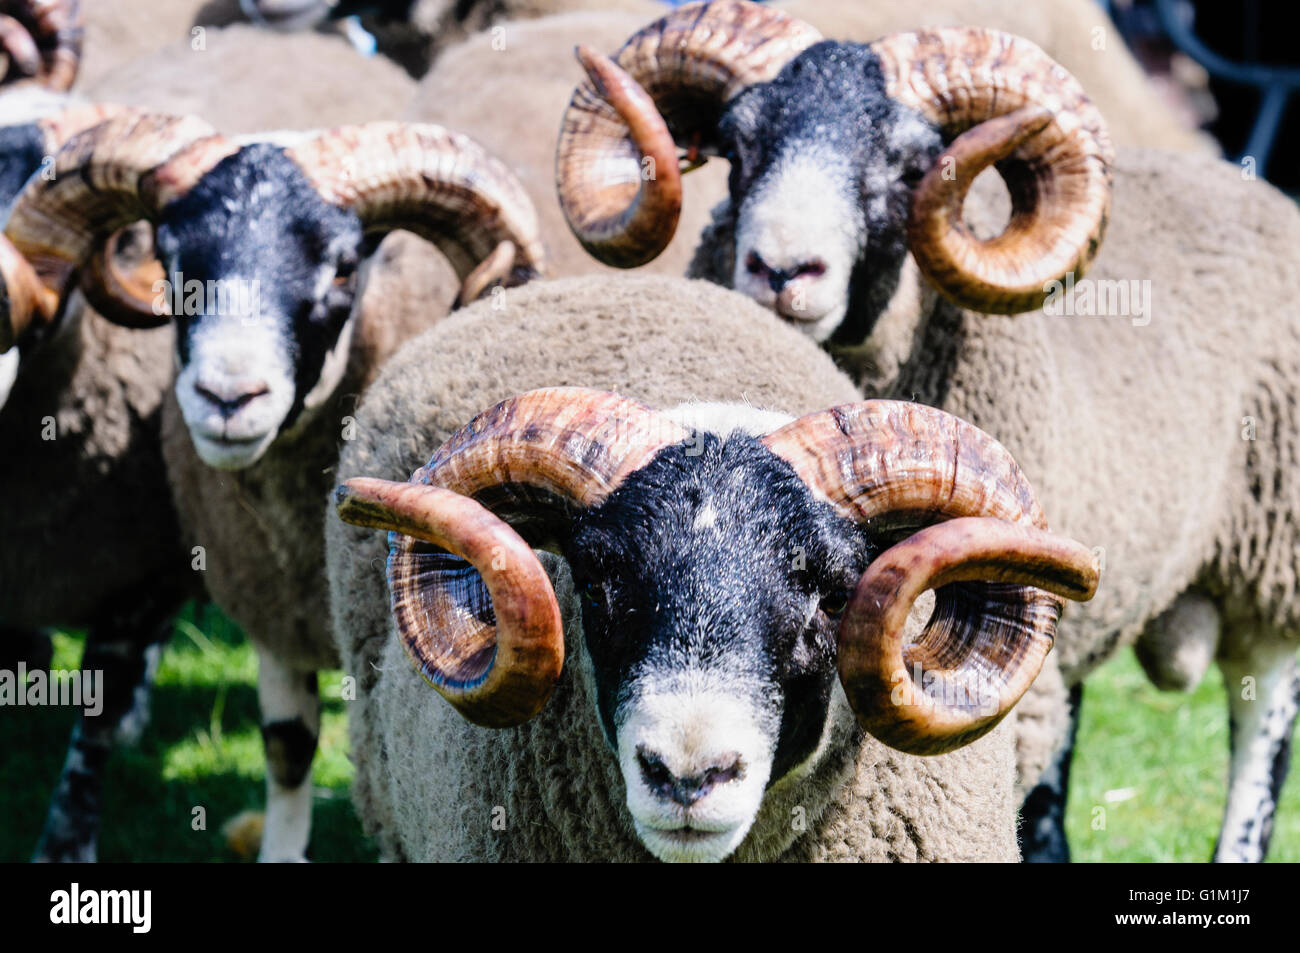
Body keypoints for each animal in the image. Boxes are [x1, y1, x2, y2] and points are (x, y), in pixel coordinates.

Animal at [553, 0, 1300, 862]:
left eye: (910, 165)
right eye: (738, 148)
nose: (782, 269)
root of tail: (1234, 175)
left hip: (1272, 547)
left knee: (1262, 715)